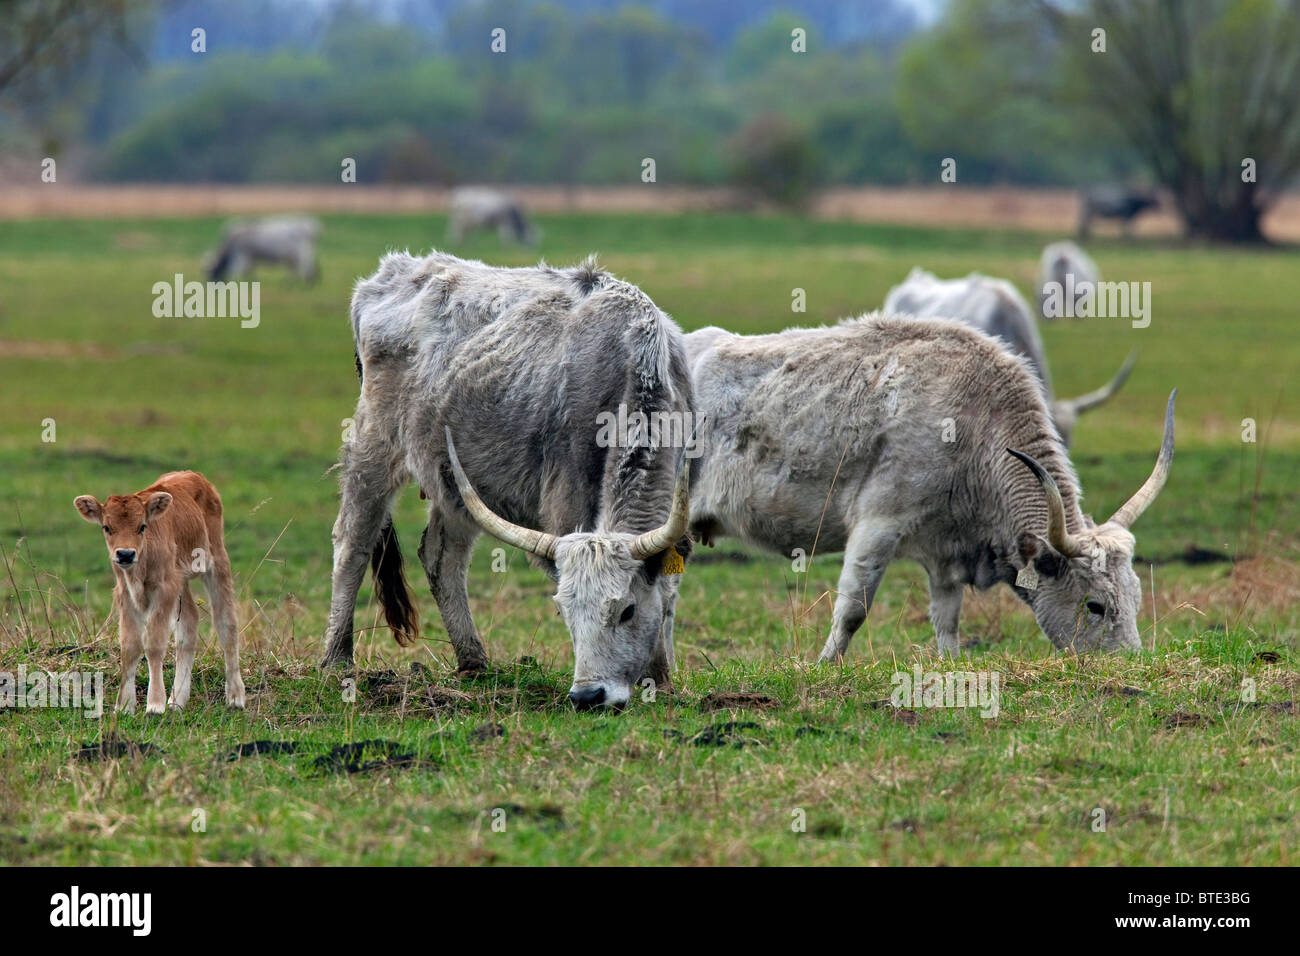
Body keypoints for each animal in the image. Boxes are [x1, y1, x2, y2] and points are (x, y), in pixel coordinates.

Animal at [73, 471, 244, 714]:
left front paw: (154, 704)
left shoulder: (164, 590)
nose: (125, 554)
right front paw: (124, 705)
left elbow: (154, 643)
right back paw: (177, 700)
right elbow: (130, 646)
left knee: (226, 623)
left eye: (142, 526)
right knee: (189, 624)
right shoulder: (126, 593)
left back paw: (235, 696)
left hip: (217, 562)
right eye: (106, 527)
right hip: (181, 581)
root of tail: (195, 476)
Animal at [319, 252, 694, 711]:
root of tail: (388, 275)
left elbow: (668, 590)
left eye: (627, 610)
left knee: (441, 556)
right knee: (353, 541)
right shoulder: (566, 500)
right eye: (563, 611)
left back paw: (474, 661)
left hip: (452, 481)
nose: (588, 696)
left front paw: (661, 676)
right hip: (373, 446)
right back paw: (337, 657)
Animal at [684, 315, 1175, 659]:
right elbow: (853, 610)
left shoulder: (946, 555)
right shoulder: (877, 525)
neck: (976, 426)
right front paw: (824, 666)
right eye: (1095, 605)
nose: (1129, 664)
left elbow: (946, 622)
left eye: (1135, 597)